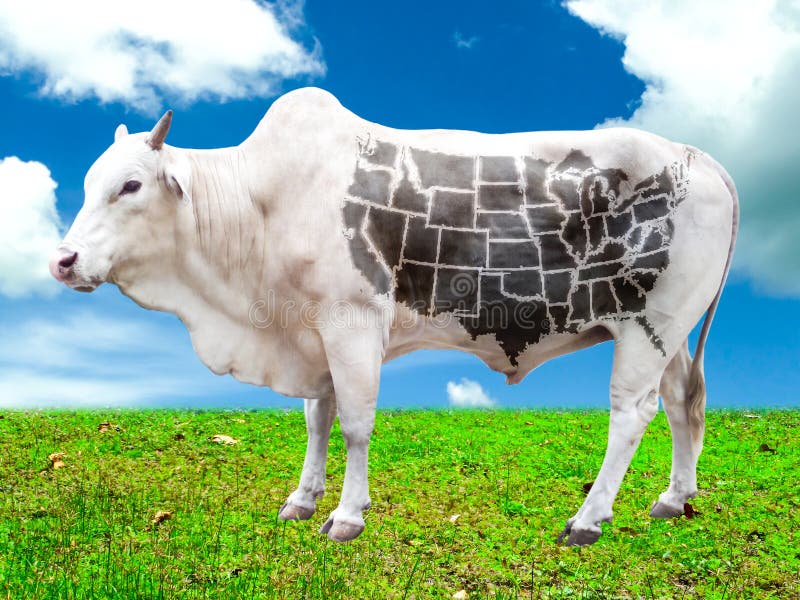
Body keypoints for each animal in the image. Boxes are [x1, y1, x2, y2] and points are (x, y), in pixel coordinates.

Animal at [49, 87, 738, 546]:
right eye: (87, 183)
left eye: (131, 185)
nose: (62, 260)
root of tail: (700, 155)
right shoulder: (312, 332)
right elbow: (317, 418)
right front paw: (302, 498)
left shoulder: (352, 322)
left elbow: (354, 423)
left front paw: (346, 515)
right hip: (670, 333)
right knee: (683, 401)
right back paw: (674, 497)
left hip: (649, 327)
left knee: (632, 414)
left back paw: (588, 519)